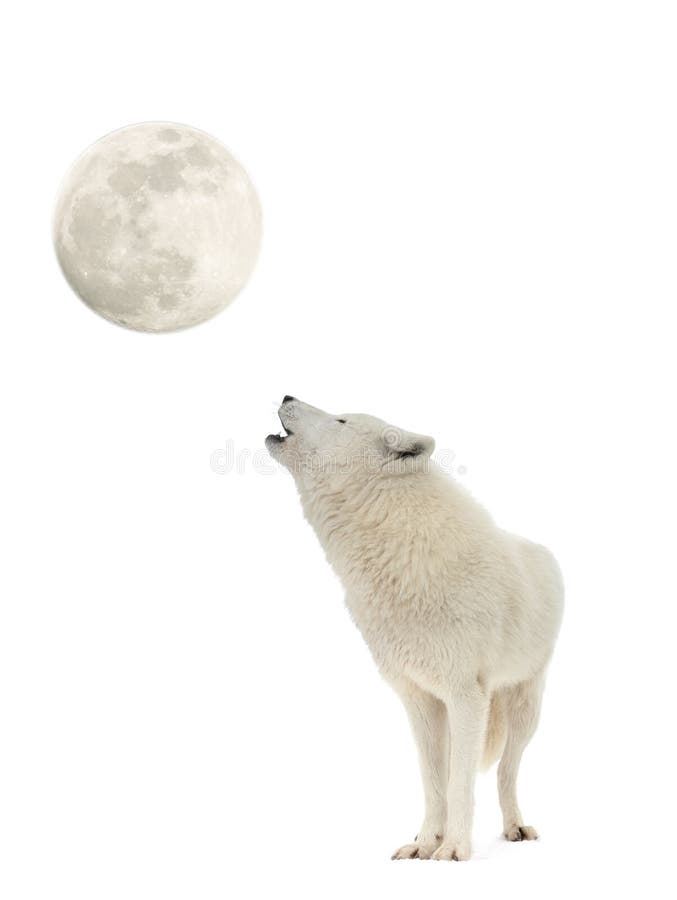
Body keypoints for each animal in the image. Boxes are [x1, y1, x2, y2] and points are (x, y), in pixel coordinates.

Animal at [266, 396, 564, 862]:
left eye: (341, 420)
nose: (286, 397)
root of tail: (543, 553)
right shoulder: (419, 699)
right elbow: (433, 781)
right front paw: (425, 843)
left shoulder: (465, 696)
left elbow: (460, 784)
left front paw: (455, 849)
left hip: (524, 710)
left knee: (506, 772)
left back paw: (515, 827)